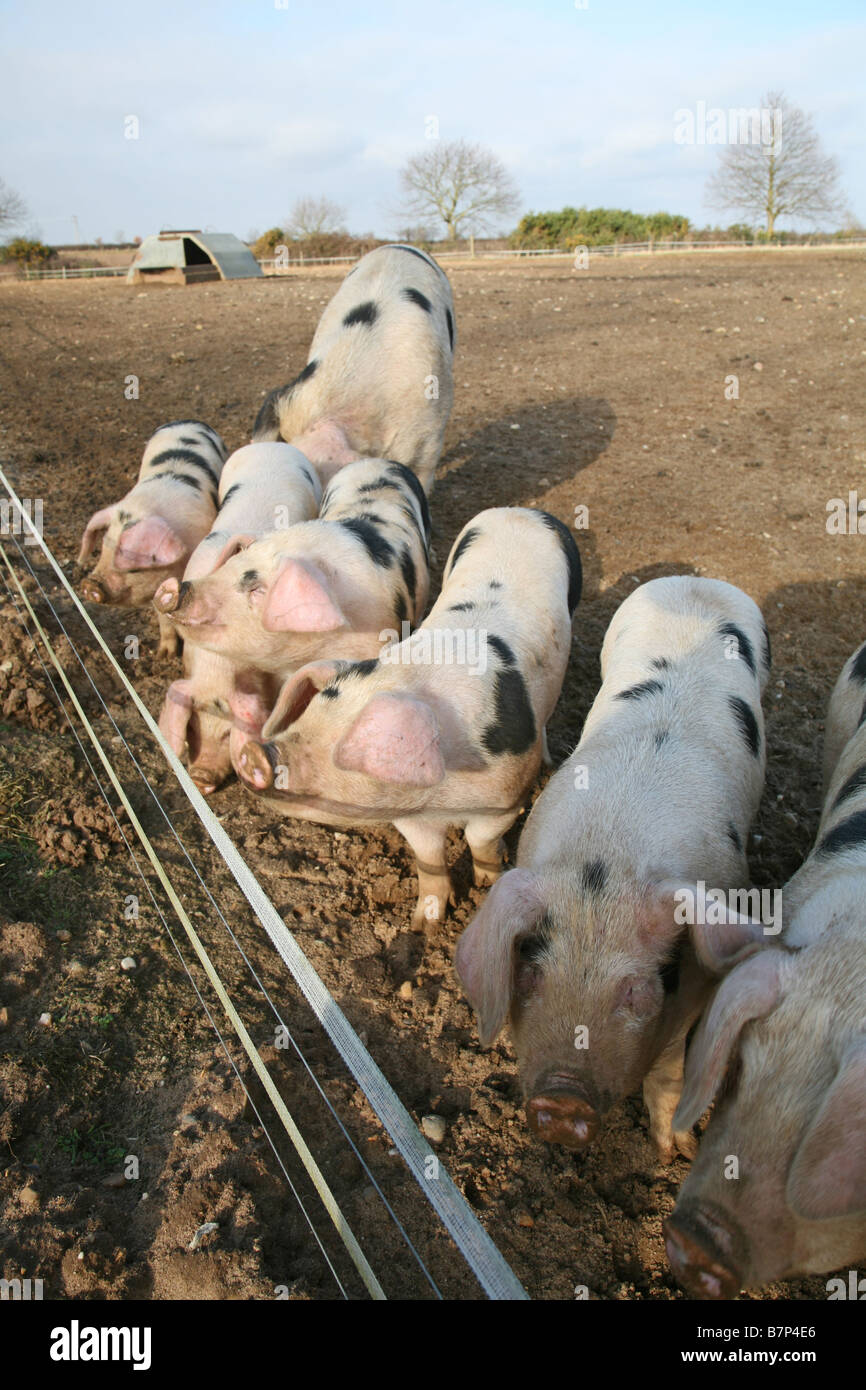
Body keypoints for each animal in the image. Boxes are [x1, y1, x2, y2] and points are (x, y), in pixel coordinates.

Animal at [234, 507, 581, 926]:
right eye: (314, 710)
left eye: (349, 745)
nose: (255, 753)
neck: (443, 795)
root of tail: (522, 511)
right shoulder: (410, 816)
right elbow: (427, 860)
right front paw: (423, 925)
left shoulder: (508, 797)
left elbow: (480, 841)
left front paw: (487, 883)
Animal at [455, 576, 772, 1164]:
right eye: (531, 971)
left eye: (636, 990)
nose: (563, 1103)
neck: (610, 847)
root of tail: (696, 581)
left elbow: (669, 1063)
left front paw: (674, 1151)